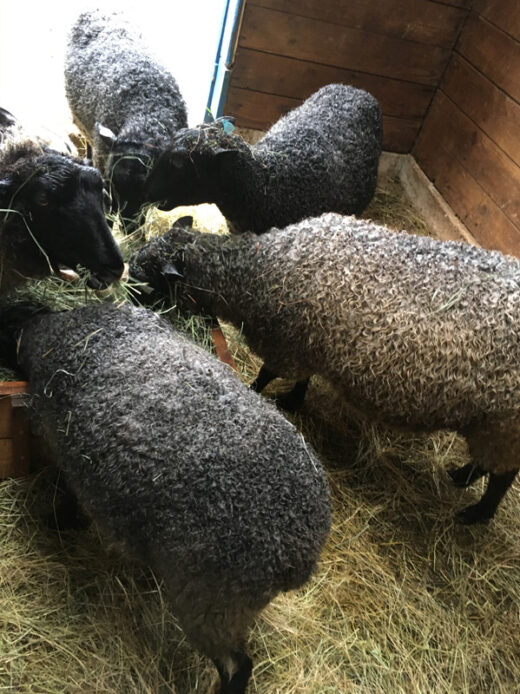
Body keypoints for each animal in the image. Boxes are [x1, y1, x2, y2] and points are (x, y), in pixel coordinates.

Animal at [0, 300, 330, 693]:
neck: (68, 333)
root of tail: (297, 556)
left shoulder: (66, 453)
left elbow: (69, 497)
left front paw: (59, 521)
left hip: (211, 603)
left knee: (237, 665)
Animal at [129, 214, 520, 525]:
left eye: (146, 276)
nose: (124, 298)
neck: (256, 271)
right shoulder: (307, 344)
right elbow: (303, 378)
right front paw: (291, 401)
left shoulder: (286, 344)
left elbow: (267, 374)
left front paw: (255, 393)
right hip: (491, 425)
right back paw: (462, 475)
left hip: (502, 426)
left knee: (504, 476)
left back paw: (477, 513)